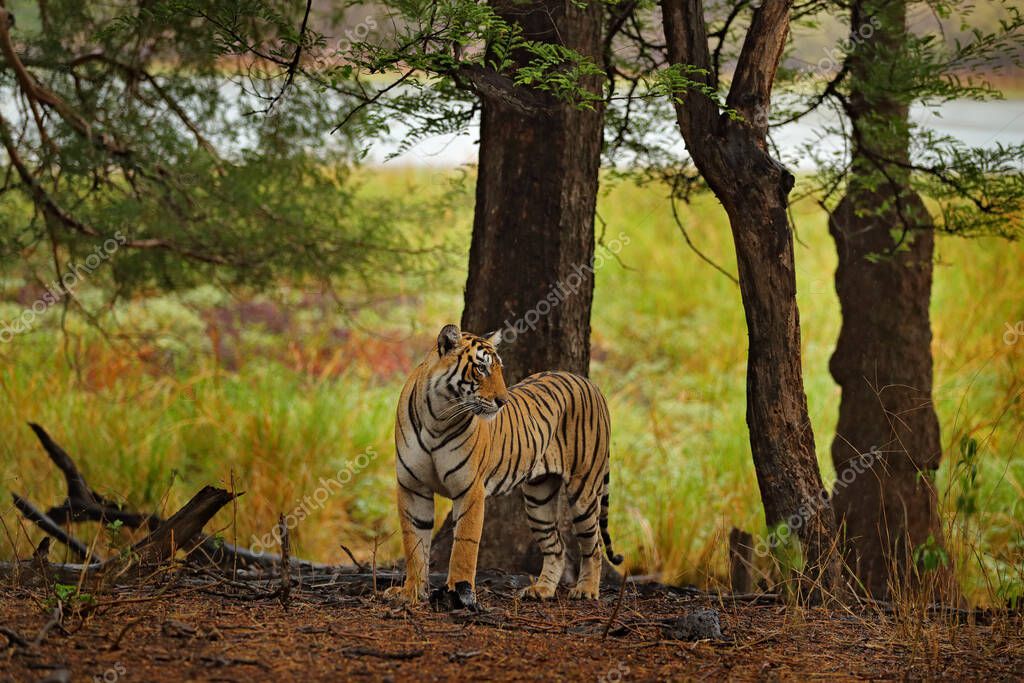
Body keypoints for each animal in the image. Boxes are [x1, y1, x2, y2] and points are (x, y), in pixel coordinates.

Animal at [386, 323, 622, 610]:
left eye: (499, 368)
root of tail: (590, 383)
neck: (437, 416)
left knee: (594, 545)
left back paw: (586, 590)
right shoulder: (412, 487)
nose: (503, 401)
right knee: (557, 547)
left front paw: (457, 595)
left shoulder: (470, 489)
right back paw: (542, 590)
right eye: (481, 368)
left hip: (584, 489)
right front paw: (411, 592)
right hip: (539, 500)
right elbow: (414, 543)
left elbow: (464, 546)